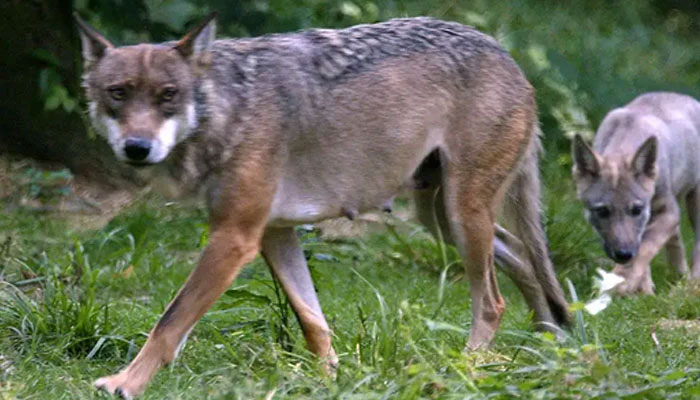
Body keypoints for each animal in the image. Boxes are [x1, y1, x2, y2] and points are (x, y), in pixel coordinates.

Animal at [75, 13, 569, 398]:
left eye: (168, 95)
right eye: (118, 93)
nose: (137, 148)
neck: (229, 106)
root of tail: (508, 56)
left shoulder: (234, 239)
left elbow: (169, 323)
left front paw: (124, 384)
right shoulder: (274, 233)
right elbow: (313, 322)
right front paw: (329, 381)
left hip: (462, 216)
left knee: (493, 302)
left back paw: (463, 371)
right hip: (442, 219)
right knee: (525, 262)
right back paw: (549, 351)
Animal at [572, 92, 700, 294]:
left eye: (636, 210)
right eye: (602, 211)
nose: (623, 254)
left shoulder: (668, 212)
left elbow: (646, 245)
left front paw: (623, 281)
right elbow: (644, 250)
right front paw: (643, 291)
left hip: (695, 198)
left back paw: (692, 285)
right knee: (676, 239)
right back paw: (679, 275)